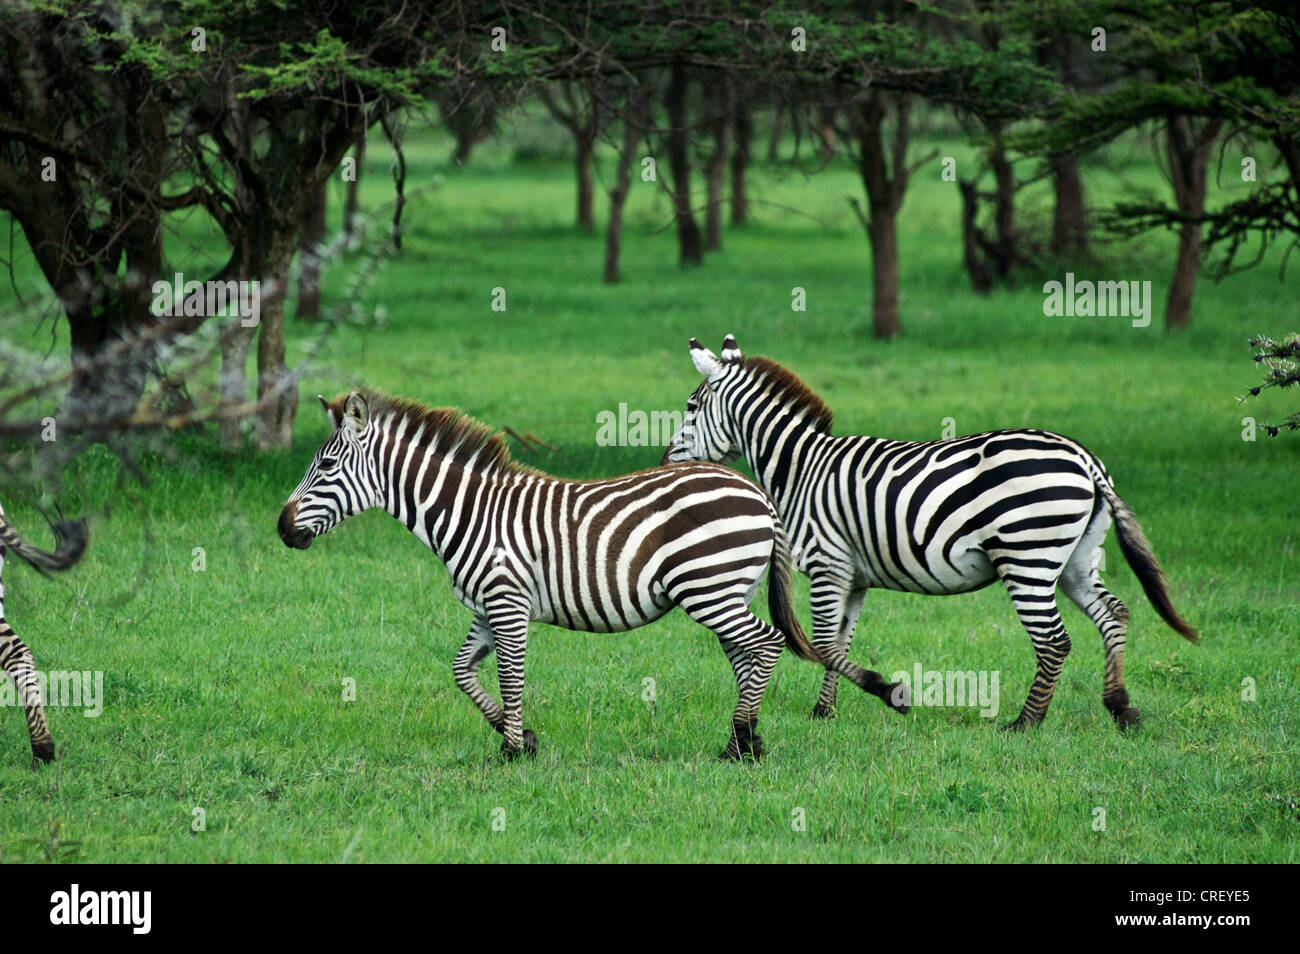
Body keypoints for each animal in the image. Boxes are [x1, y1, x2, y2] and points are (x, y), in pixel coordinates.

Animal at [276, 389, 869, 761]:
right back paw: (747, 743)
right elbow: (462, 673)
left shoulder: (508, 603)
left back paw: (739, 744)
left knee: (766, 645)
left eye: (325, 467)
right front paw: (522, 737)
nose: (282, 528)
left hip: (710, 588)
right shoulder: (486, 608)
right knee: (747, 655)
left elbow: (511, 676)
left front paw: (511, 752)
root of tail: (756, 492)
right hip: (728, 588)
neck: (468, 512)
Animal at [662, 335, 1197, 731]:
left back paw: (1025, 723)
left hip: (1027, 556)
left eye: (690, 407)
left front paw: (874, 698)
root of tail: (1084, 458)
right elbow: (841, 643)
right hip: (1074, 561)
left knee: (1054, 641)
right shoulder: (853, 577)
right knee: (1114, 614)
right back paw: (1120, 708)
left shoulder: (827, 565)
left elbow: (823, 644)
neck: (801, 468)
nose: (667, 461)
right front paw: (826, 712)